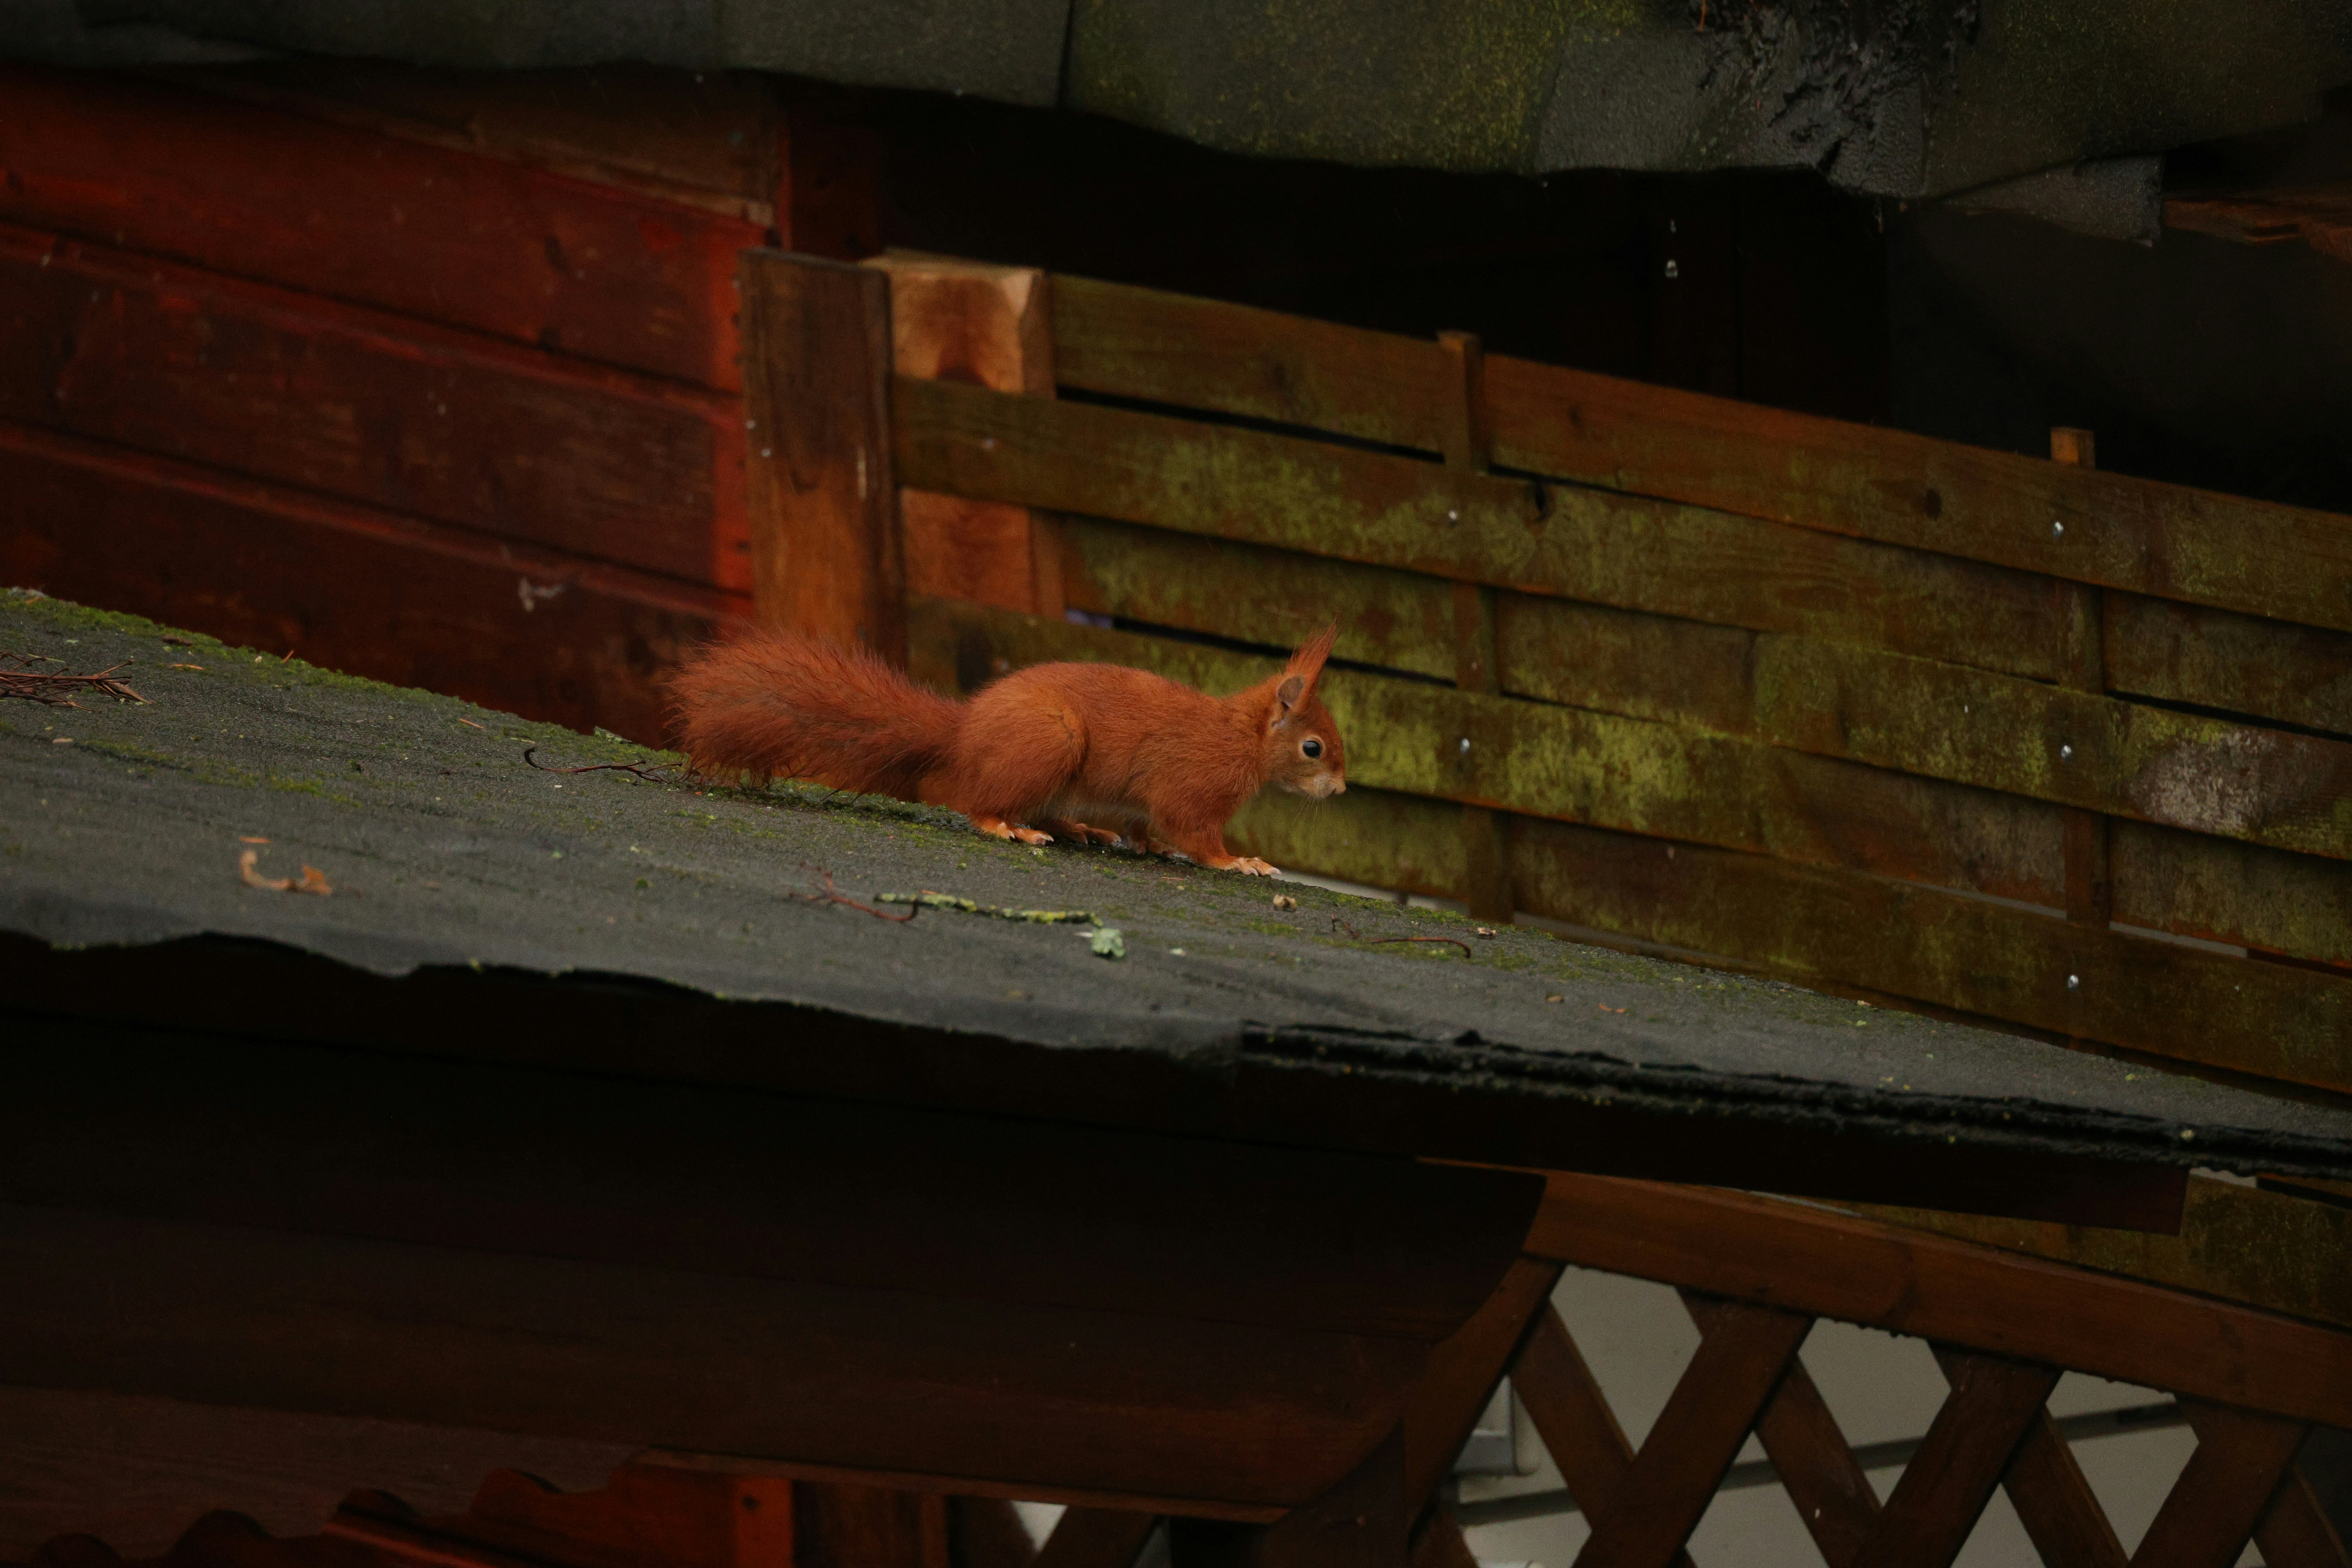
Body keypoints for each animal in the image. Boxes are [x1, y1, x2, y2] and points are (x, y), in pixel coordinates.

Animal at [668, 624, 1347, 875]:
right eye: (1313, 748)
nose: (1341, 791)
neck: (1243, 737)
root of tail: (964, 736)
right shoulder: (1194, 784)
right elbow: (1194, 832)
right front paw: (1240, 863)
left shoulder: (1148, 800)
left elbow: (1146, 825)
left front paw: (1145, 844)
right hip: (1049, 744)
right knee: (979, 804)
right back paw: (1009, 828)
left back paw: (1077, 828)